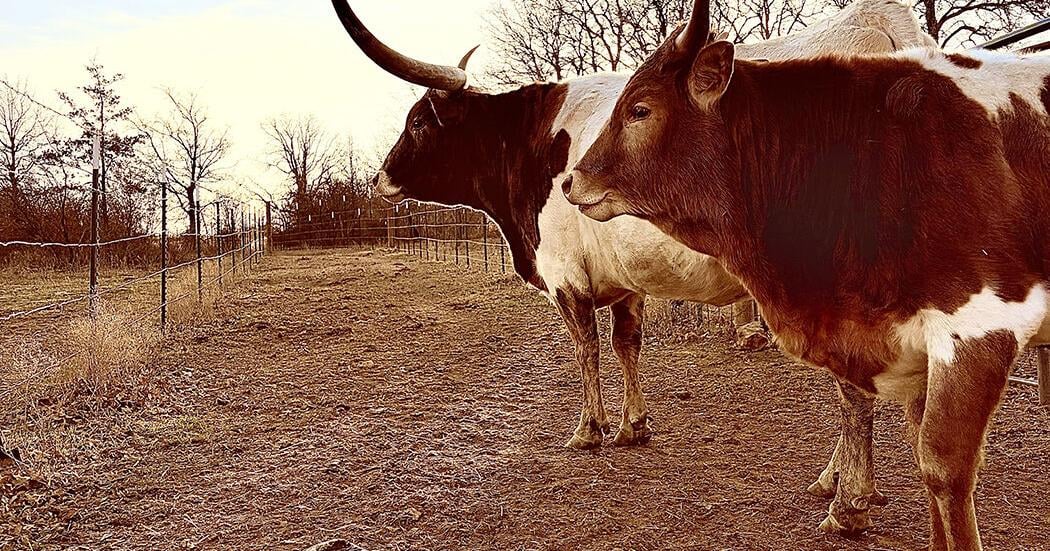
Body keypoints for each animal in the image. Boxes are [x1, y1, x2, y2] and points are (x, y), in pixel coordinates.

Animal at [333, 0, 934, 535]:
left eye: (418, 124)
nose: (380, 176)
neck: (530, 139)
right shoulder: (626, 283)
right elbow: (627, 344)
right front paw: (633, 427)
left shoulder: (565, 277)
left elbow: (586, 349)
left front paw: (588, 430)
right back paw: (840, 482)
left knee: (855, 391)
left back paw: (849, 503)